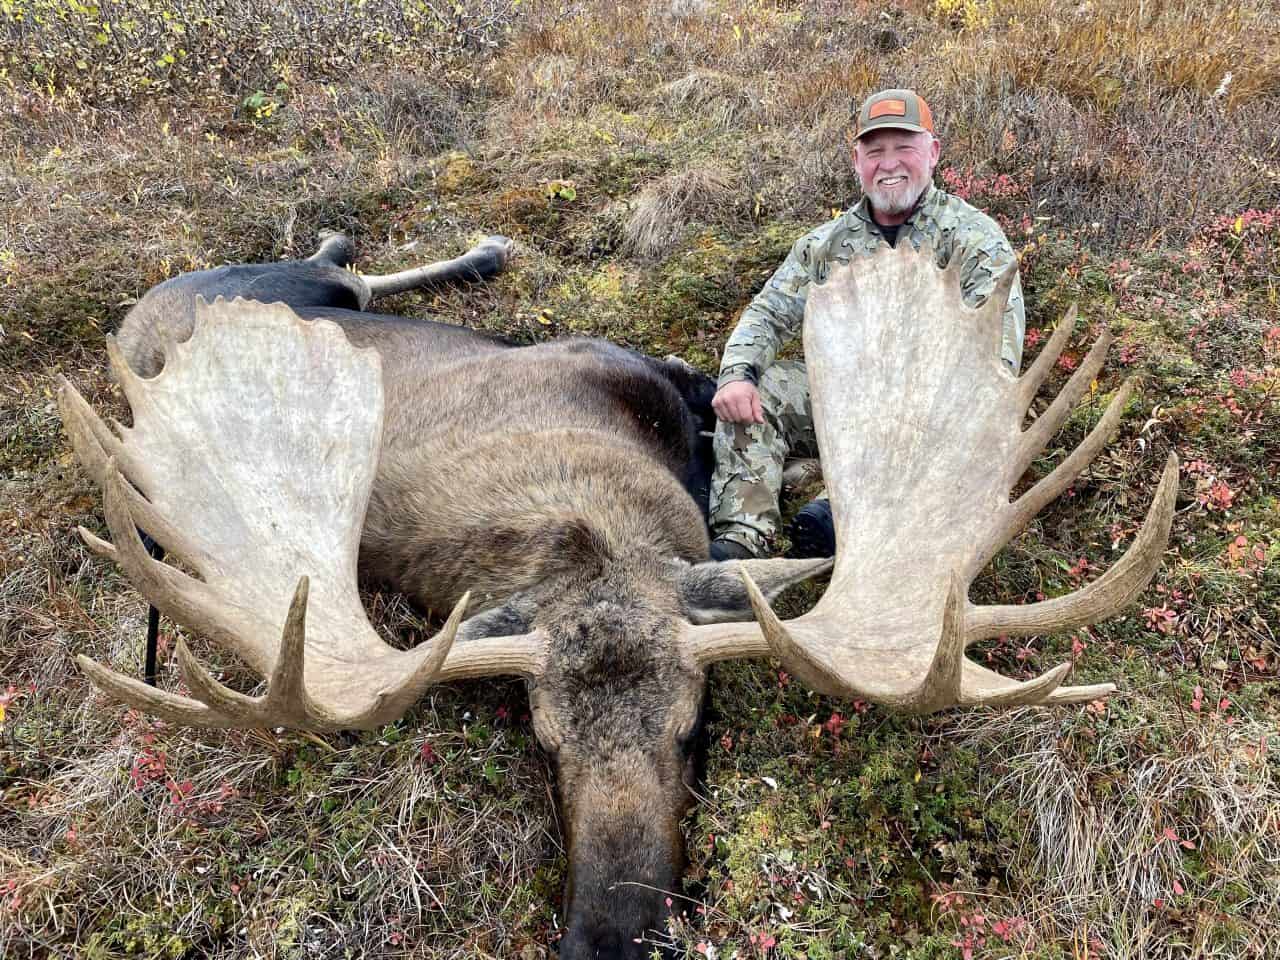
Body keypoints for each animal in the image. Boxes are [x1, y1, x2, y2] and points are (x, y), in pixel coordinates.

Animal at [56, 235, 1177, 959]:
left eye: (697, 726)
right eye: (542, 742)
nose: (611, 939)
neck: (593, 510)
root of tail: (134, 328)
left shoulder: (632, 364)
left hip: (299, 292)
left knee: (341, 267)